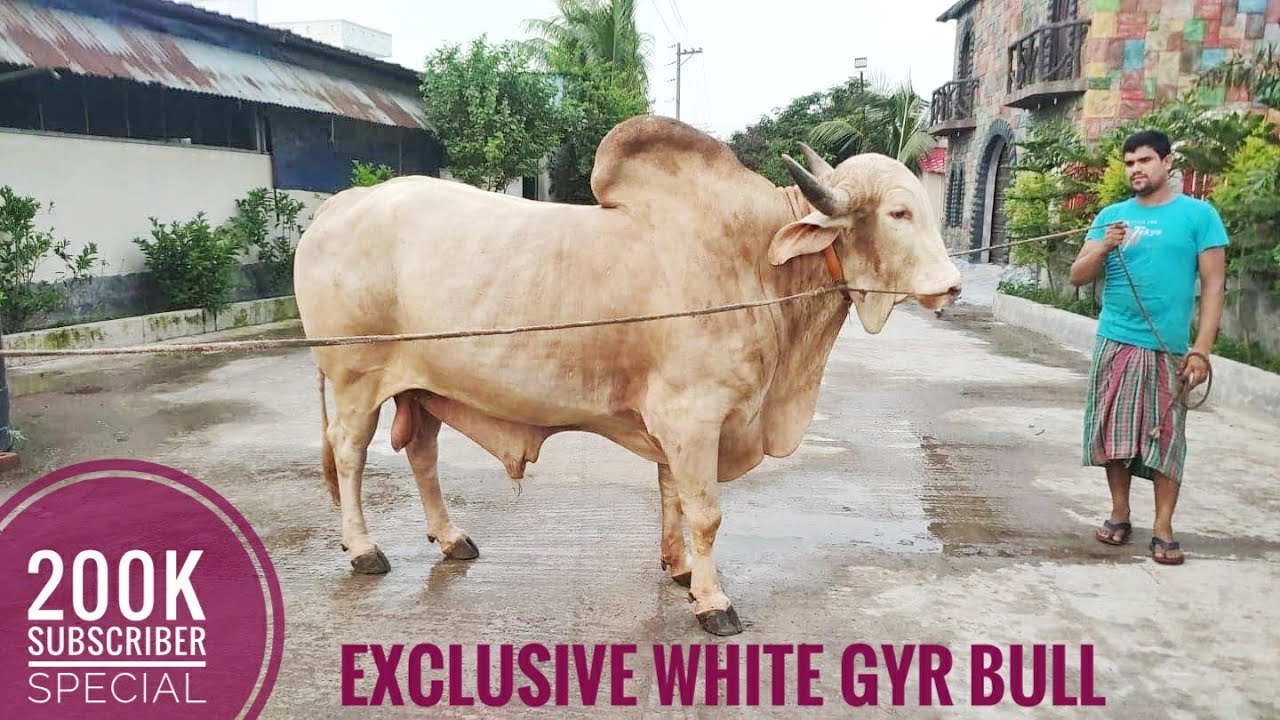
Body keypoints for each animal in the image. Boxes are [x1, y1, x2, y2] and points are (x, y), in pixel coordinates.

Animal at [293, 115, 962, 636]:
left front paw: (681, 568)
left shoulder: (676, 426)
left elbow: (672, 497)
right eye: (898, 212)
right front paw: (713, 602)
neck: (757, 263)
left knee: (423, 455)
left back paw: (451, 538)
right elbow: (706, 512)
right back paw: (364, 549)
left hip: (424, 389)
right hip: (355, 381)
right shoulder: (694, 417)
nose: (953, 285)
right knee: (349, 456)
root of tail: (339, 205)